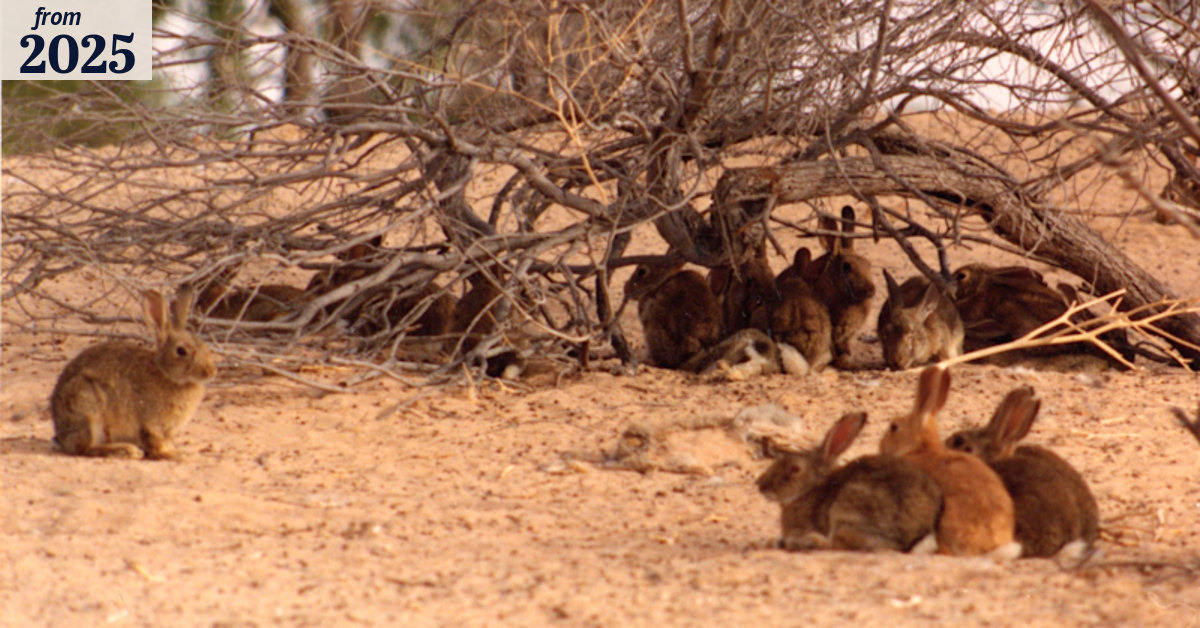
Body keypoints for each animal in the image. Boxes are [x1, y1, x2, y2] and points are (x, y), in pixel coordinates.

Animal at [51, 288, 218, 460]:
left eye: (204, 346)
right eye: (181, 351)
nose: (211, 372)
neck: (165, 372)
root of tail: (61, 435)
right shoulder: (152, 424)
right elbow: (156, 443)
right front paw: (173, 454)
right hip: (88, 411)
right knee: (85, 448)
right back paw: (127, 450)